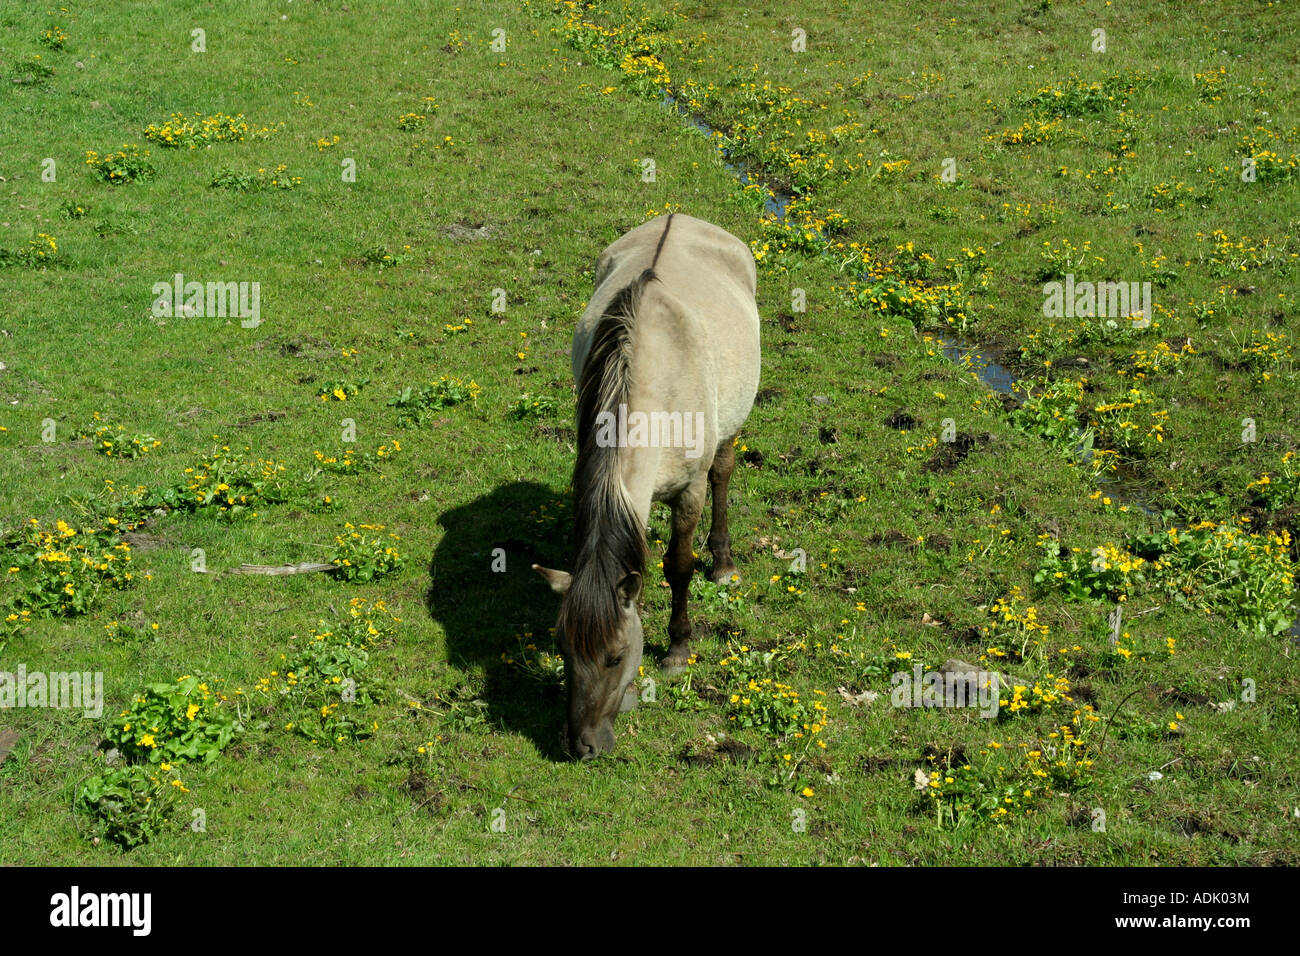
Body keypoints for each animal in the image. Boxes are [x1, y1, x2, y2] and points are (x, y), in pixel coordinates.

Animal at [533, 213, 761, 759]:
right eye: (562, 648)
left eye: (616, 657)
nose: (581, 746)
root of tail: (682, 217)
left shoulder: (689, 491)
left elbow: (678, 565)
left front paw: (677, 649)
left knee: (724, 473)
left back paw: (723, 563)